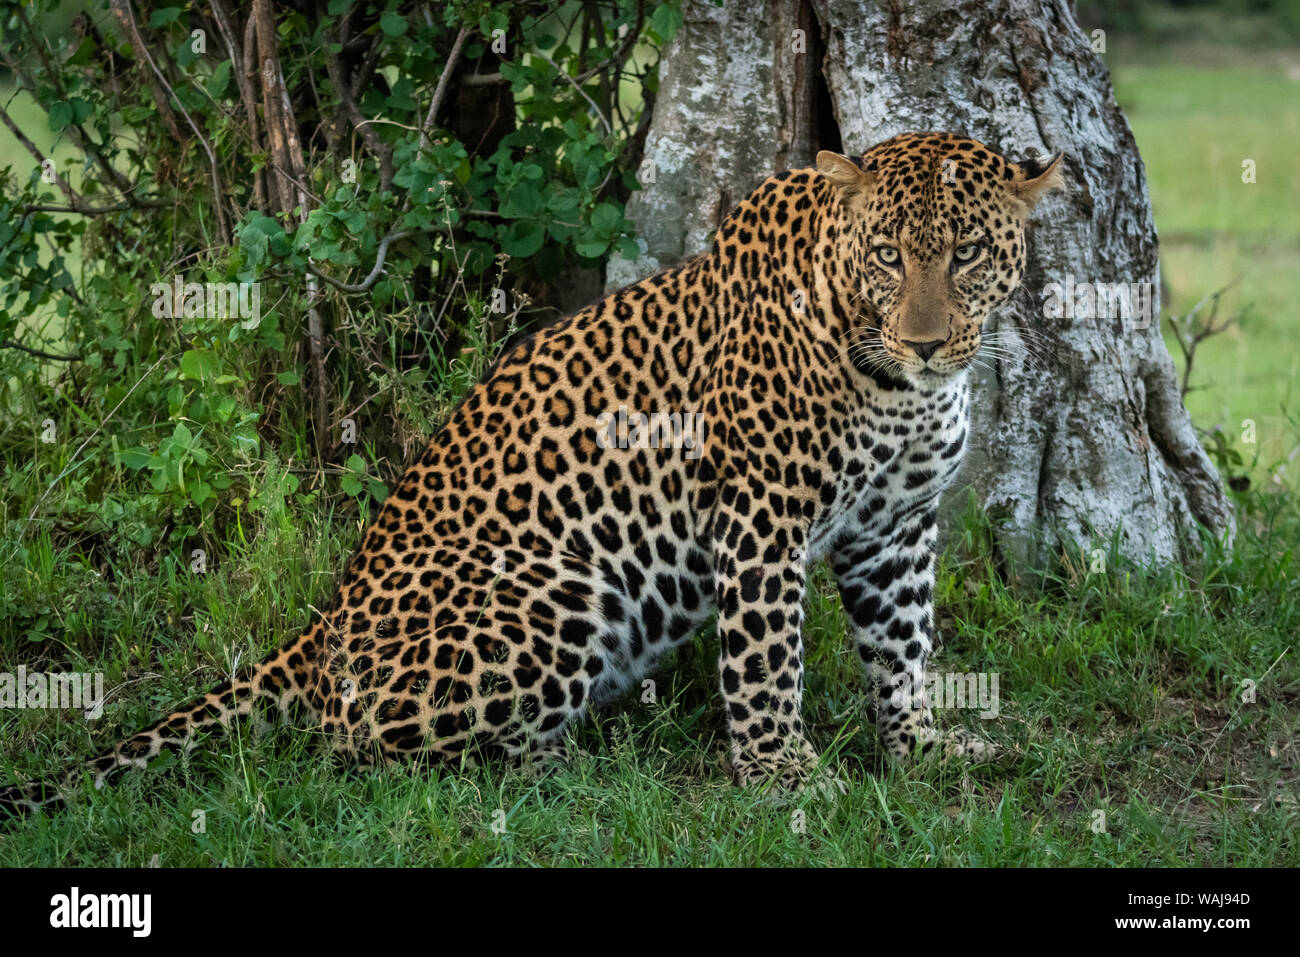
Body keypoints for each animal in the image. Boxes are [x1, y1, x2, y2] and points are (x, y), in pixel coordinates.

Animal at [1, 131, 1064, 817]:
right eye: (888, 254)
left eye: (968, 253)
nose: (924, 343)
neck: (898, 382)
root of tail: (319, 626)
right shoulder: (761, 516)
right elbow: (767, 660)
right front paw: (784, 778)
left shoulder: (896, 524)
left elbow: (903, 645)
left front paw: (920, 748)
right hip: (560, 592)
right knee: (355, 749)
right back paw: (556, 769)